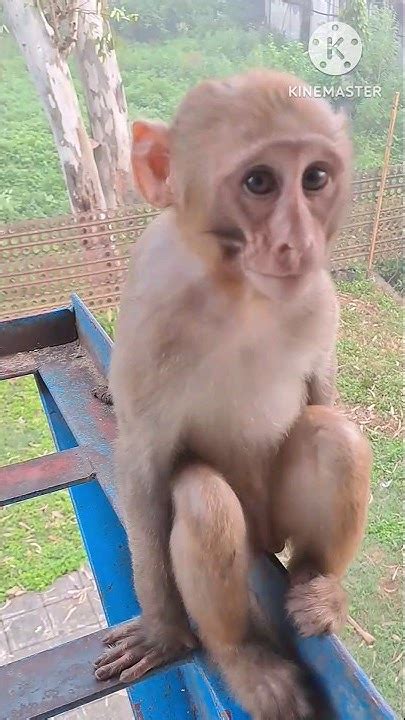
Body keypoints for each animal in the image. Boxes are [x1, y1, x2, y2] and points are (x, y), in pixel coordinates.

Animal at [94, 70, 371, 720]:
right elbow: (143, 463)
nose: (298, 242)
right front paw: (164, 631)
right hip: (247, 534)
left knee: (335, 438)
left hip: (278, 523)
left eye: (315, 179)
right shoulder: (149, 315)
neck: (238, 290)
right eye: (259, 182)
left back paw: (319, 585)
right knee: (204, 500)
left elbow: (322, 395)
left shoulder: (320, 297)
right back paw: (243, 659)